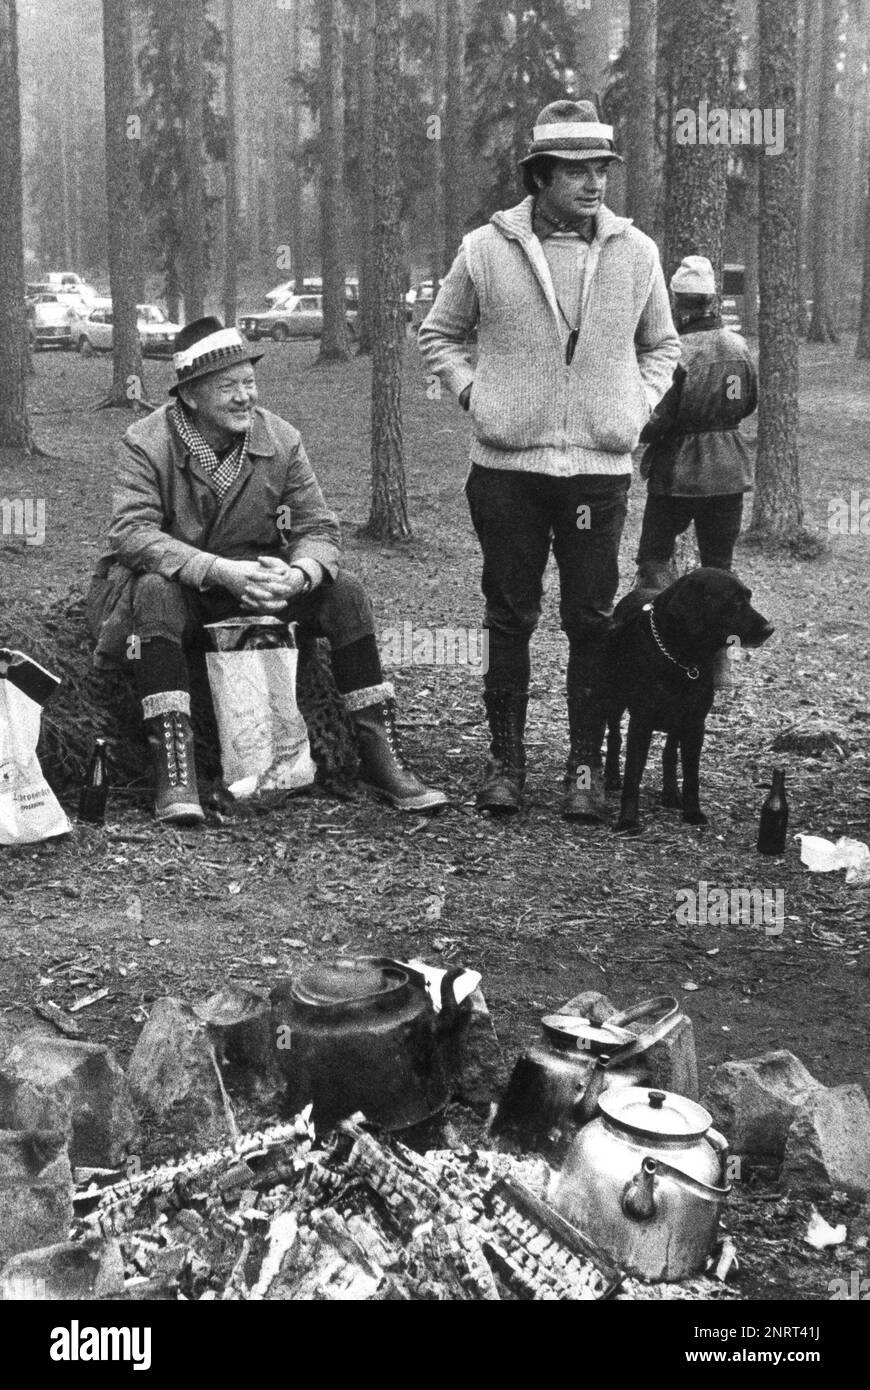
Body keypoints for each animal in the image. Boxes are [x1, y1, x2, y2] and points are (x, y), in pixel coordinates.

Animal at [594, 567, 772, 828]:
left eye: (749, 596)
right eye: (736, 600)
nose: (770, 628)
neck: (681, 657)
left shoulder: (694, 723)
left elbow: (690, 775)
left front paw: (692, 812)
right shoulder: (641, 722)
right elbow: (633, 774)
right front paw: (627, 820)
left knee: (669, 753)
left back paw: (670, 793)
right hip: (614, 698)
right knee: (615, 736)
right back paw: (612, 776)